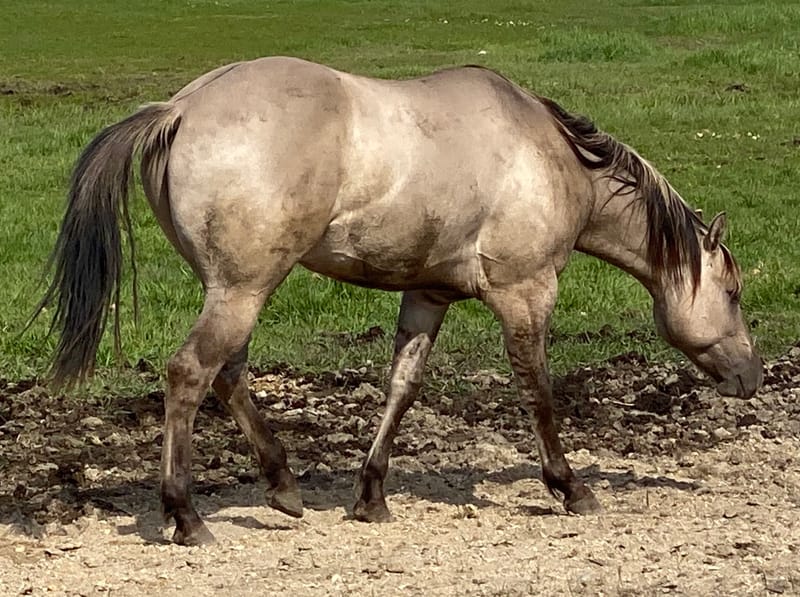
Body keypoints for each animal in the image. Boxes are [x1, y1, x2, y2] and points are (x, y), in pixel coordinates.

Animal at [33, 56, 763, 545]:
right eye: (731, 291)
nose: (752, 376)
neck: (549, 157)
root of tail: (180, 109)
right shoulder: (525, 294)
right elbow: (538, 391)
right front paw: (570, 486)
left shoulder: (428, 292)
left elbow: (401, 387)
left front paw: (371, 495)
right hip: (243, 289)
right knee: (190, 373)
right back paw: (184, 514)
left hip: (232, 290)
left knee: (227, 374)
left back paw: (284, 485)